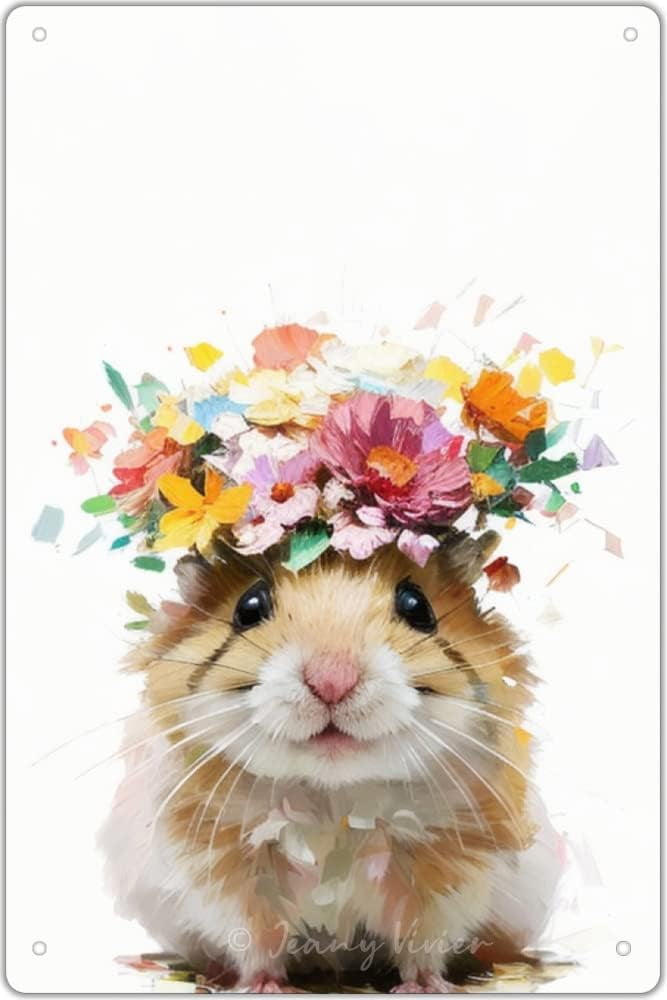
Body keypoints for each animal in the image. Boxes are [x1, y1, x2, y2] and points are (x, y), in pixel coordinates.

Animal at [101, 529, 560, 993]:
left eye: (418, 607)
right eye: (249, 607)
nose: (332, 681)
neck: (333, 793)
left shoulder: (448, 872)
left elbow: (422, 939)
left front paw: (425, 987)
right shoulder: (226, 873)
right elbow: (257, 939)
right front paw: (264, 987)